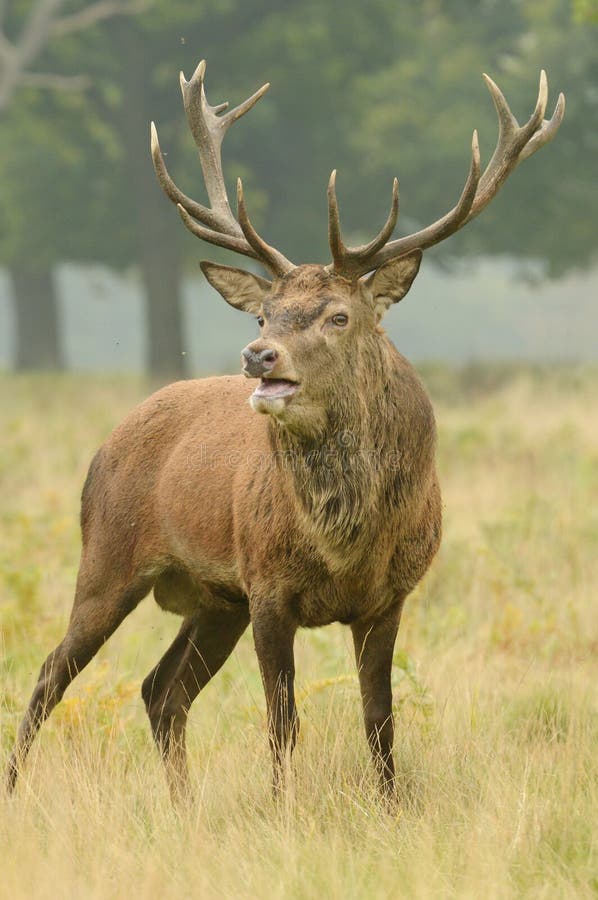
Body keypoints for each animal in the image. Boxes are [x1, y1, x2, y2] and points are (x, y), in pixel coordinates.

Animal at [6, 61, 564, 803]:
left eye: (337, 316)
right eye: (262, 314)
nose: (258, 356)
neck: (345, 542)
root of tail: (104, 446)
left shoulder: (391, 596)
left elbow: (379, 718)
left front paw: (389, 808)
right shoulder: (269, 586)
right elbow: (282, 717)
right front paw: (282, 807)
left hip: (215, 601)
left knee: (161, 689)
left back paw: (183, 806)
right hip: (109, 556)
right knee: (51, 674)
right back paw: (17, 790)